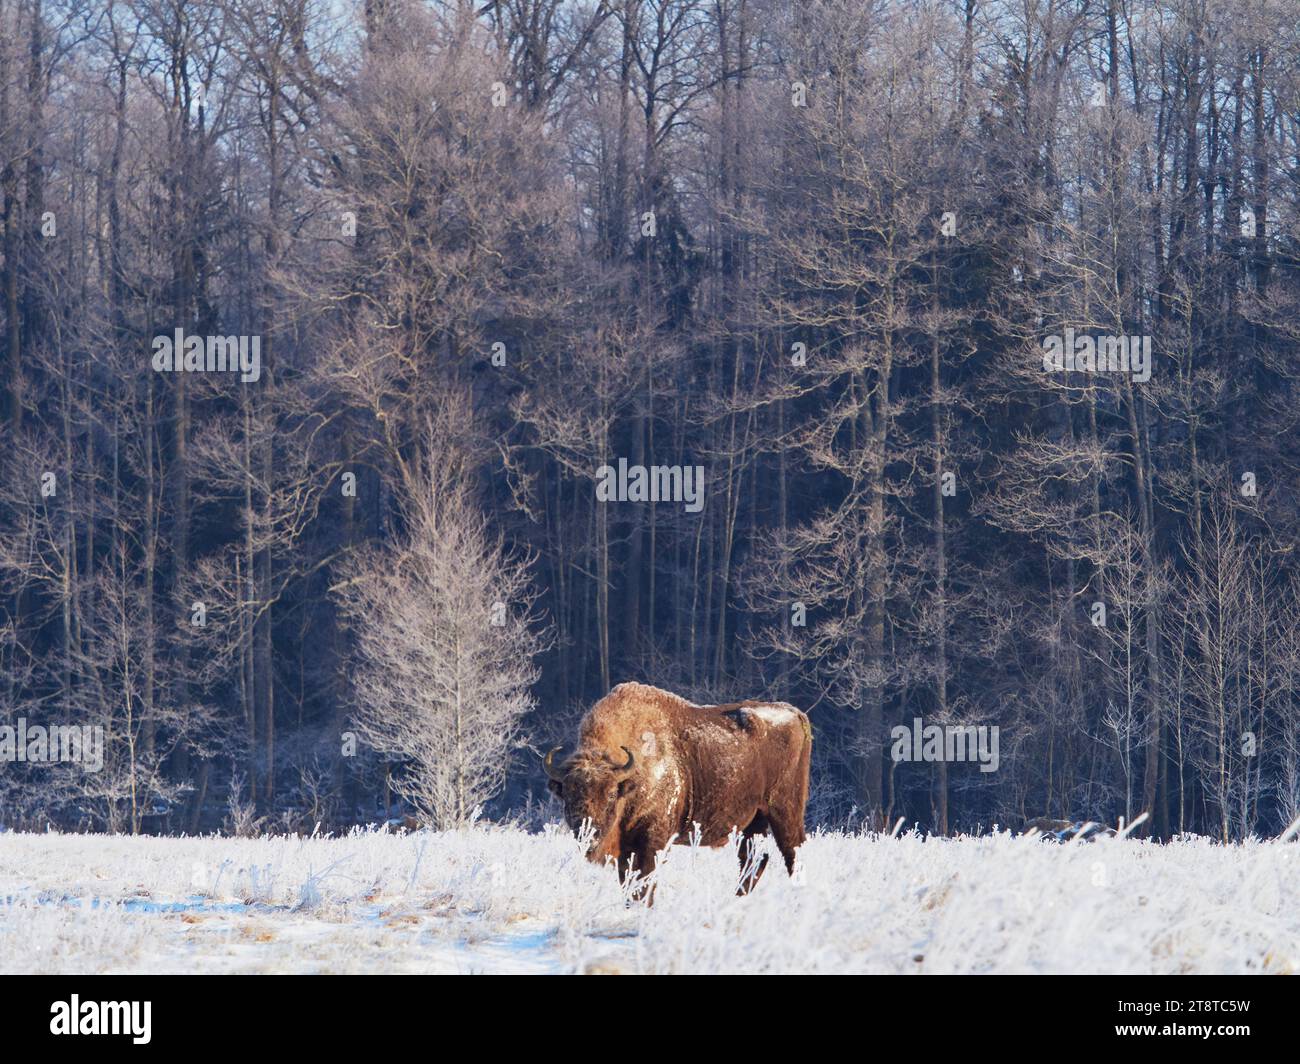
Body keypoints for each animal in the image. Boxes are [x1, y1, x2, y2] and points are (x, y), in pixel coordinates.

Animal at [544, 682, 812, 898]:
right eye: (567, 795)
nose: (589, 834)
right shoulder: (626, 850)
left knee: (793, 852)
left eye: (611, 794)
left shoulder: (651, 841)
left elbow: (644, 884)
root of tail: (796, 714)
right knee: (754, 860)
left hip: (784, 810)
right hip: (753, 821)